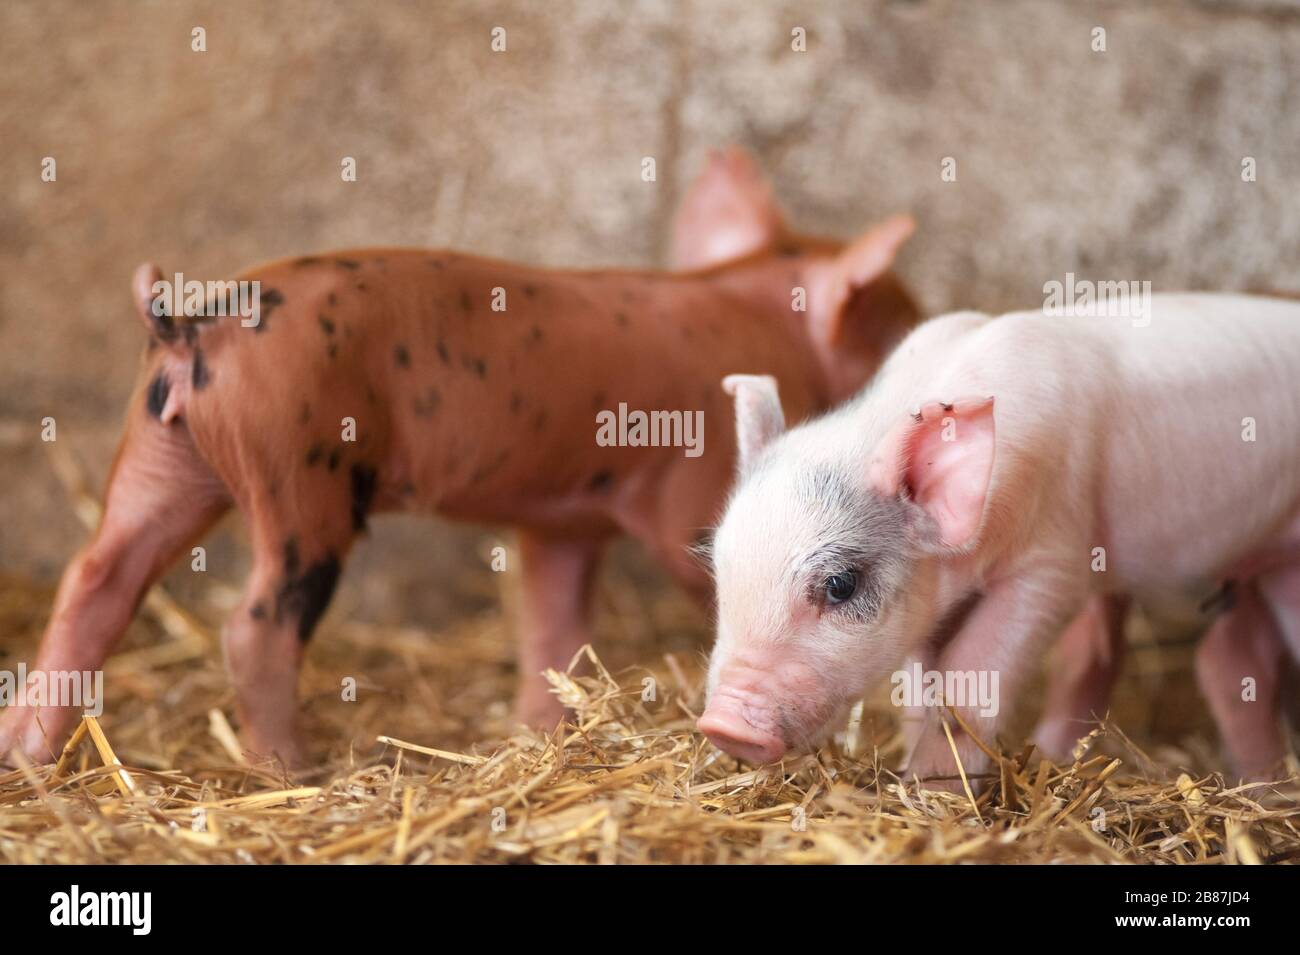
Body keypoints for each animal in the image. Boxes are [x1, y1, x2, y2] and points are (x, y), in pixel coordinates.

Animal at [0, 148, 921, 767]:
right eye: (897, 326)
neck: (749, 304)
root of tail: (189, 322)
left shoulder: (564, 523)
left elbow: (552, 623)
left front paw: (539, 727)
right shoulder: (682, 494)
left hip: (161, 452)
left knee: (96, 578)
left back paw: (28, 756)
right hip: (298, 471)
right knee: (252, 625)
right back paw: (296, 769)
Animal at [700, 294, 1300, 787]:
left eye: (840, 585)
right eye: (719, 569)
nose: (722, 725)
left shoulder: (1054, 558)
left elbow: (974, 669)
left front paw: (934, 785)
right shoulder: (930, 598)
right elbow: (923, 684)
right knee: (1233, 658)